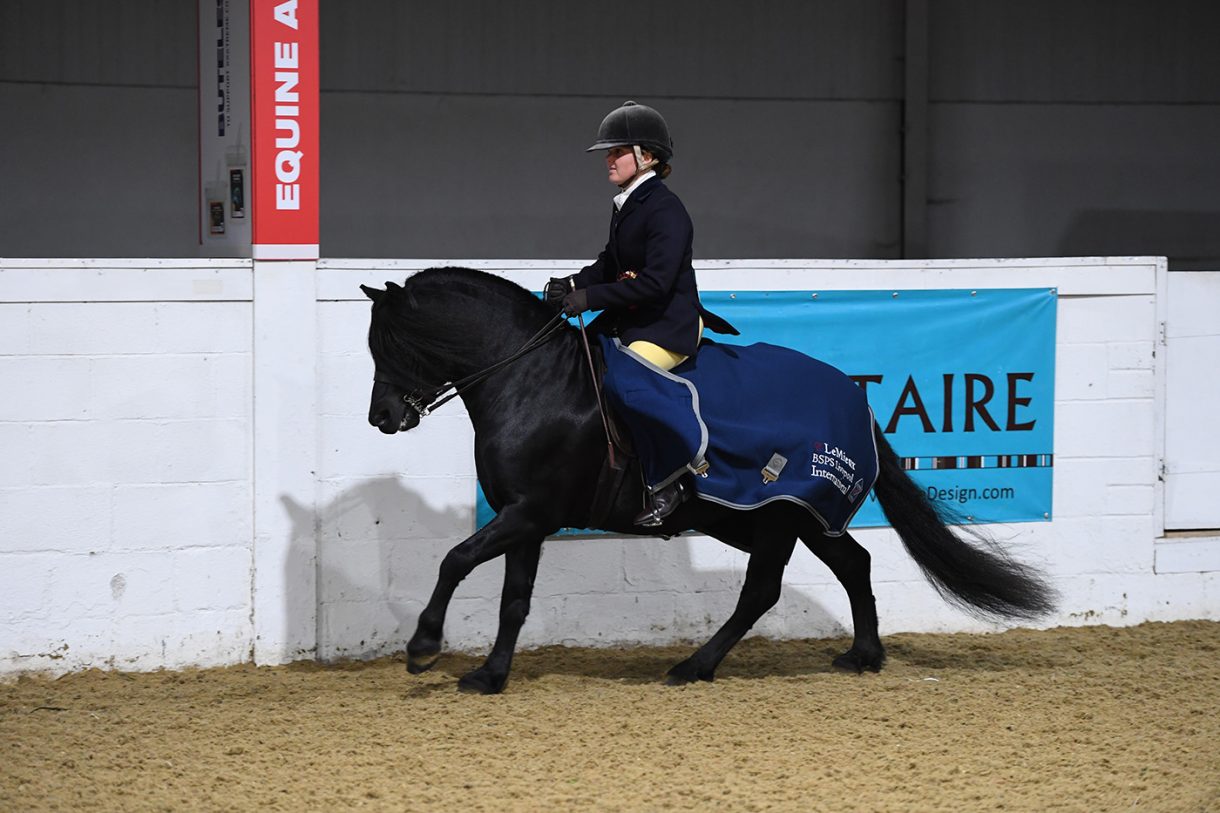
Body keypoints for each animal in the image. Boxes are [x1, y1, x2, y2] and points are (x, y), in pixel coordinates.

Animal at [362, 267, 1056, 694]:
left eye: (391, 344)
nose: (382, 418)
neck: (531, 382)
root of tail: (851, 400)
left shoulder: (529, 514)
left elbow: (454, 560)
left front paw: (423, 646)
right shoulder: (525, 517)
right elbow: (514, 599)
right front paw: (490, 676)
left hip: (780, 517)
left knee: (763, 592)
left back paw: (694, 666)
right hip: (792, 518)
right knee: (852, 564)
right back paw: (863, 656)